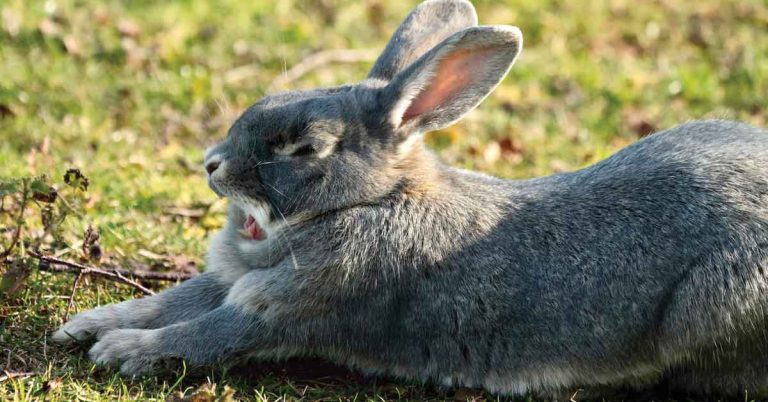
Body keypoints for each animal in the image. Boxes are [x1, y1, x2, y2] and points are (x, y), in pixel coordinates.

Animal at [53, 0, 768, 398]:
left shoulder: (288, 308)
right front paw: (88, 324)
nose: (212, 165)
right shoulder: (236, 279)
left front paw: (122, 352)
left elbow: (206, 331)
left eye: (305, 148)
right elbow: (174, 299)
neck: (366, 202)